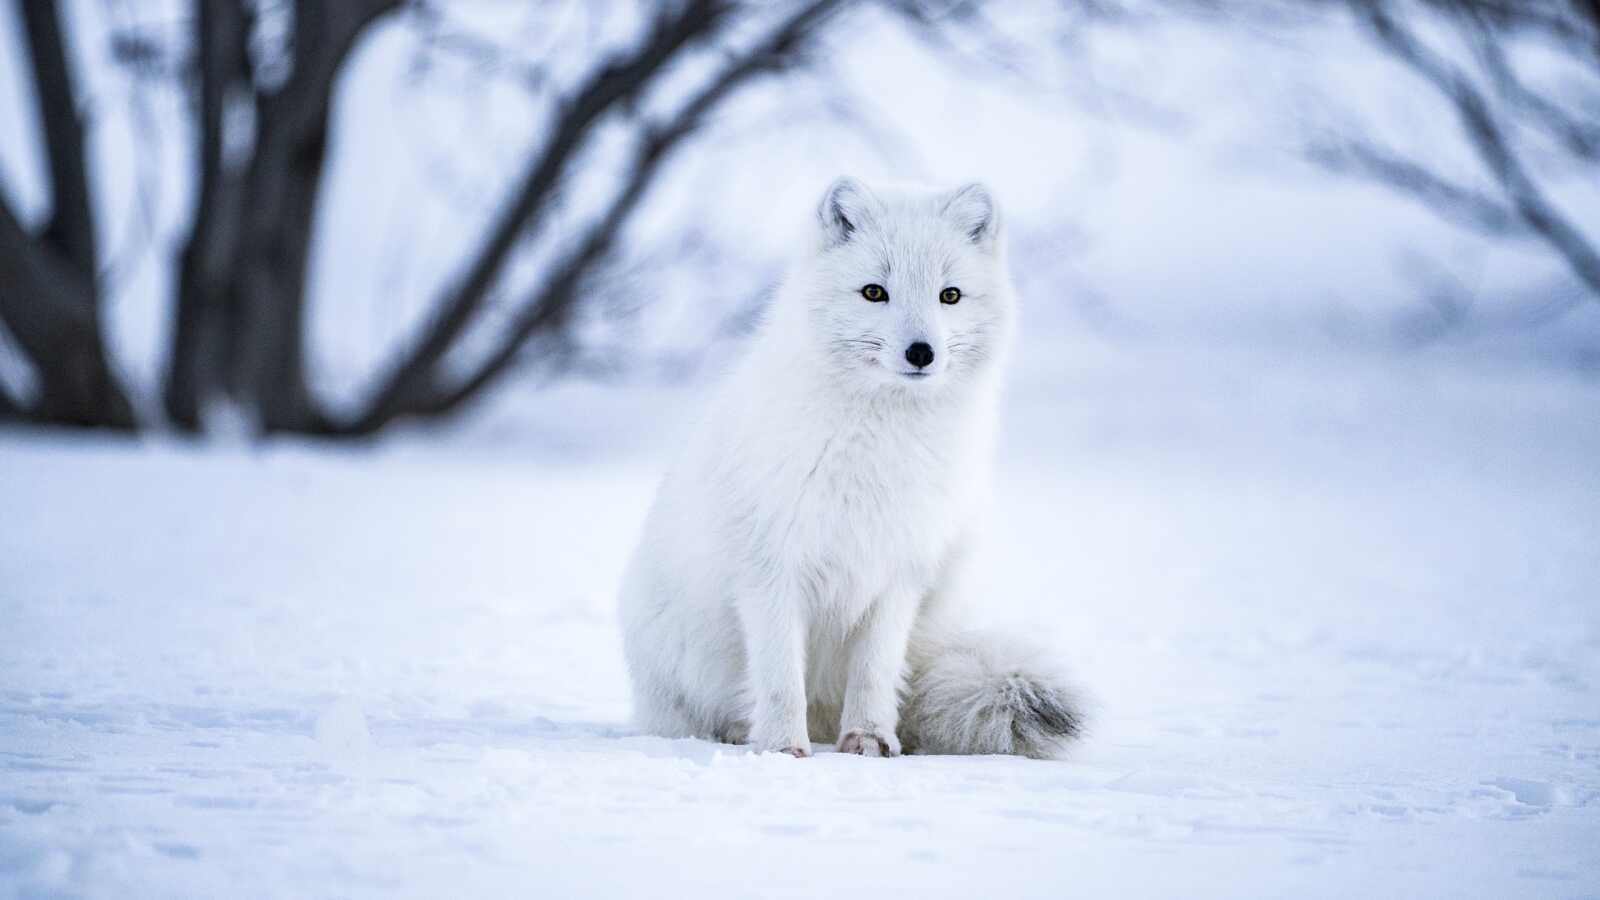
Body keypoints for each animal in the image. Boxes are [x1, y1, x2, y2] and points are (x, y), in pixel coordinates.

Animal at [618, 177, 1084, 758]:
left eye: (949, 295)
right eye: (874, 292)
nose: (921, 352)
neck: (878, 444)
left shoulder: (899, 573)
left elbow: (875, 672)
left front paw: (868, 738)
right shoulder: (770, 568)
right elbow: (778, 676)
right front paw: (781, 748)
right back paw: (739, 733)